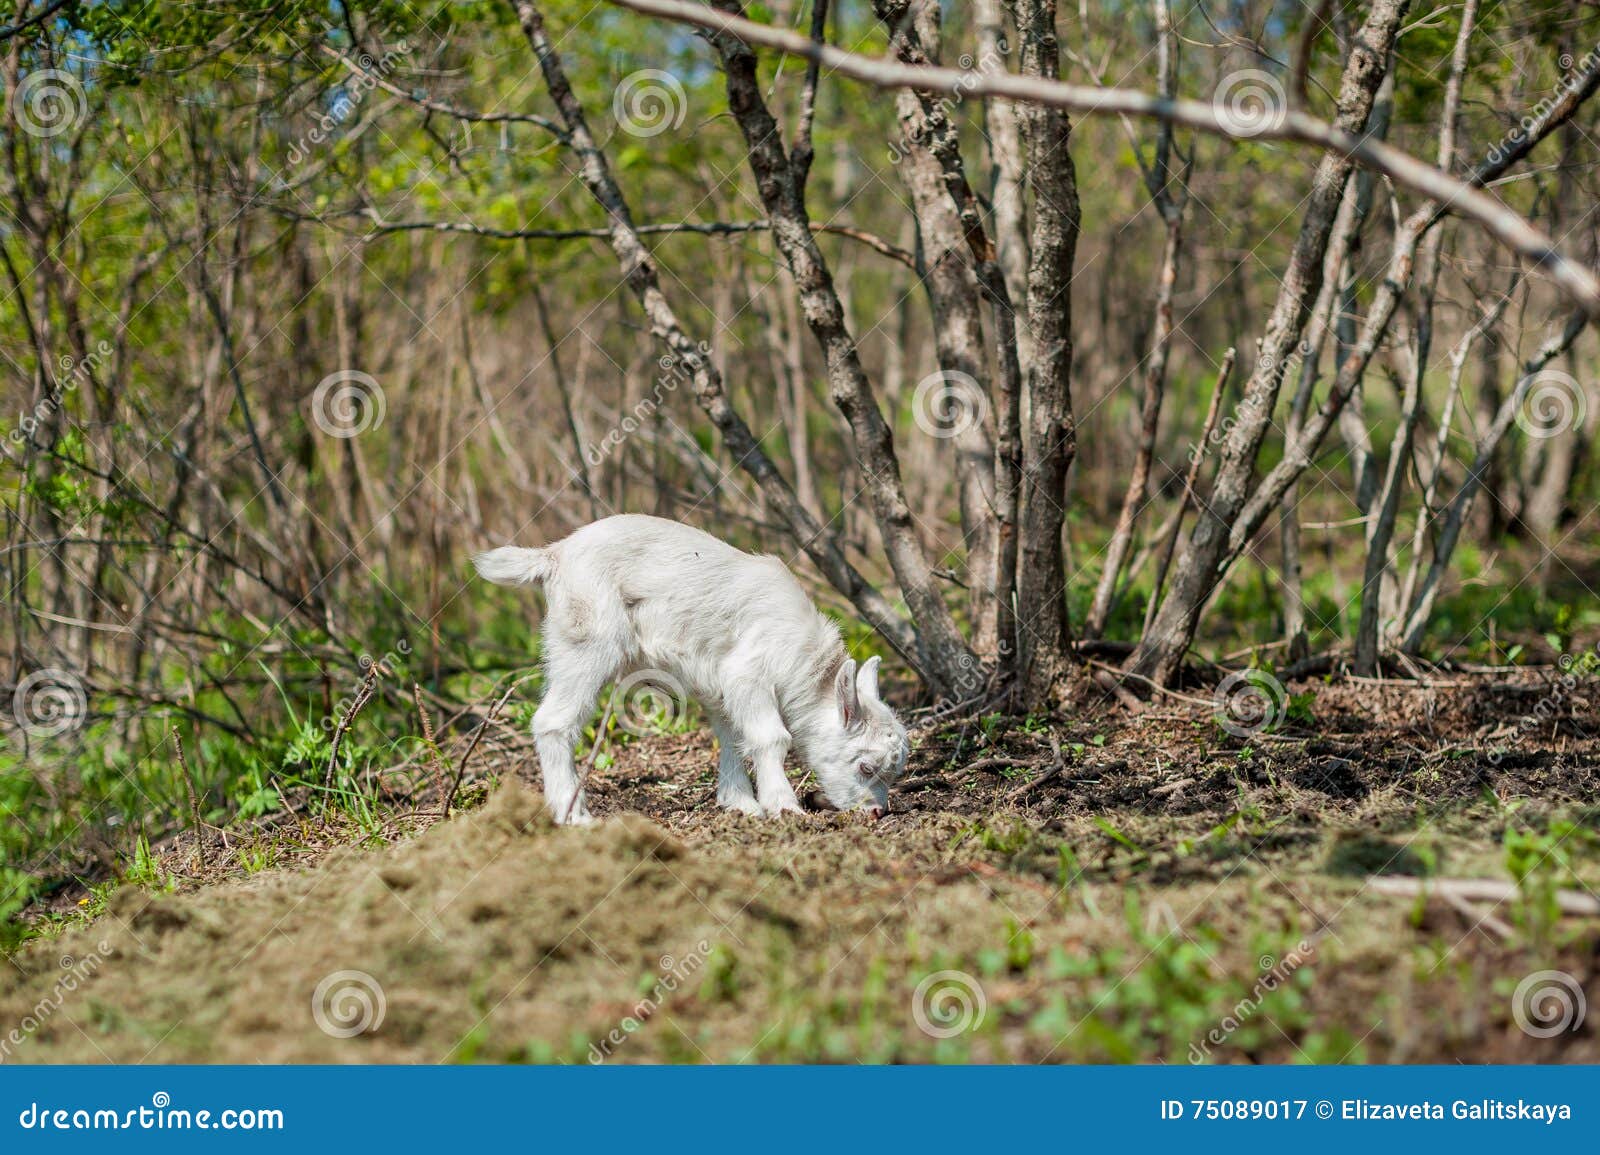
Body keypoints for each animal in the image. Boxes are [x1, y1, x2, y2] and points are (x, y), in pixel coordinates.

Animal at [472, 514, 909, 825]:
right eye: (865, 766)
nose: (877, 812)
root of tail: (553, 556)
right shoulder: (748, 673)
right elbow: (771, 737)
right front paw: (783, 808)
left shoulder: (718, 681)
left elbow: (733, 736)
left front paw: (741, 805)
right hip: (586, 643)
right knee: (553, 722)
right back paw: (573, 816)